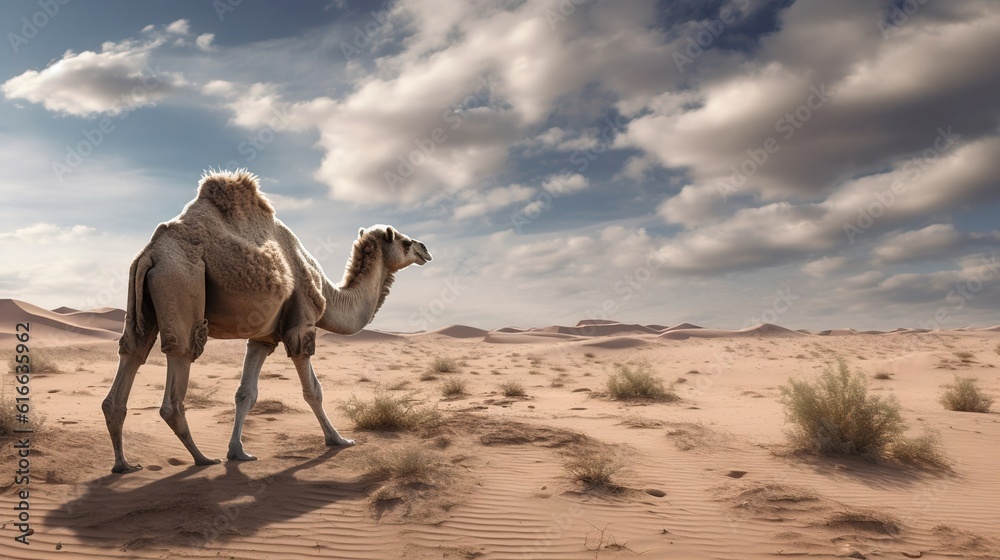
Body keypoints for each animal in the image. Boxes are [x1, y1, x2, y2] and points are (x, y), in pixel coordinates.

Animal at [102, 170, 432, 474]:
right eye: (404, 242)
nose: (425, 249)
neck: (328, 293)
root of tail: (152, 252)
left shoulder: (263, 336)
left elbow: (246, 393)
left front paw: (238, 452)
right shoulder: (301, 325)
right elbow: (313, 390)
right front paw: (338, 440)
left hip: (142, 301)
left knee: (132, 352)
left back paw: (123, 464)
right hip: (181, 281)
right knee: (180, 359)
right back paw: (202, 458)